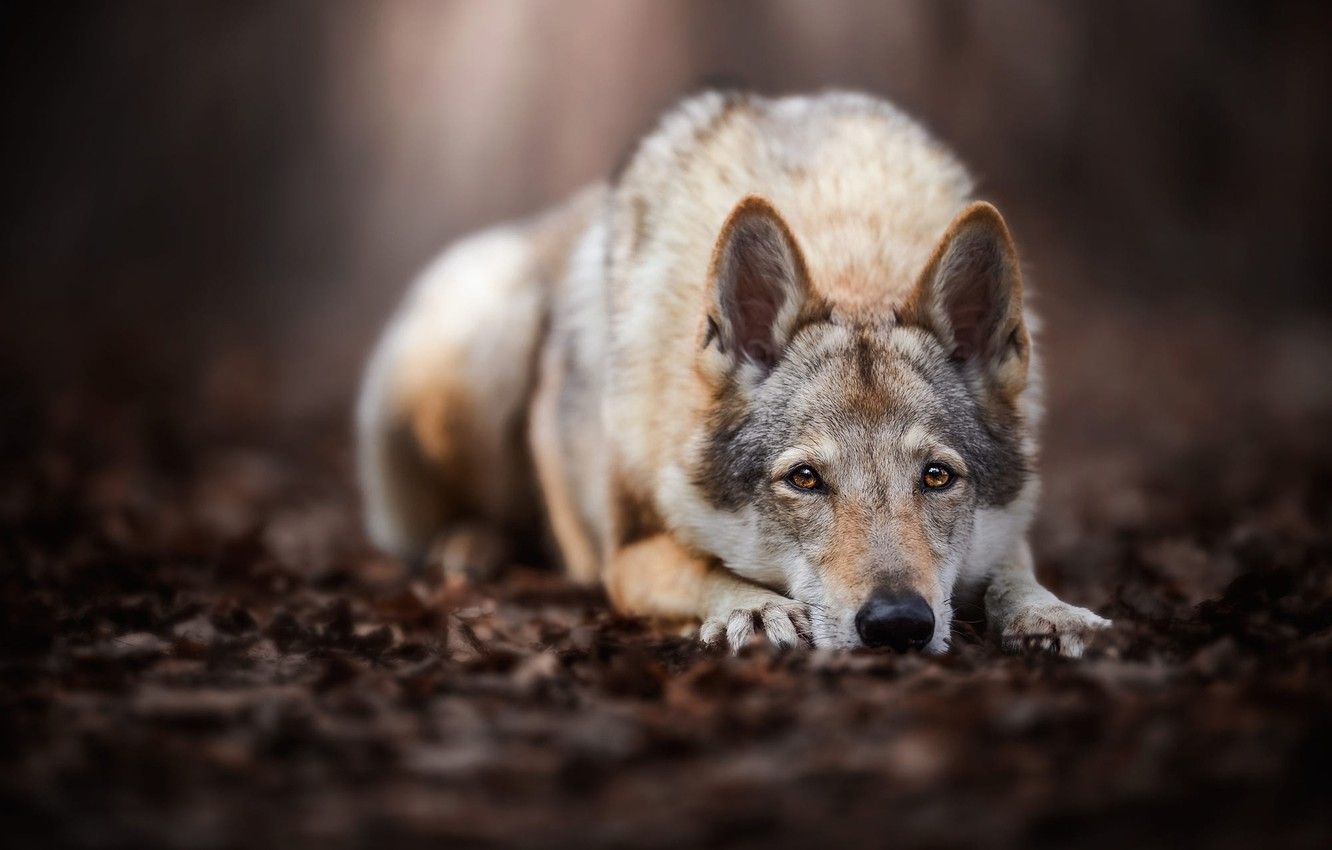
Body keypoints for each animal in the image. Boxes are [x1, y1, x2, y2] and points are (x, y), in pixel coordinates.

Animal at [356, 91, 1110, 655]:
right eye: (804, 480)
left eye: (936, 478)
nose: (898, 624)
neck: (850, 254)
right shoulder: (627, 556)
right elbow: (702, 568)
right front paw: (754, 609)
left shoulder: (1003, 528)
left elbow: (1013, 567)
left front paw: (1050, 612)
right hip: (485, 328)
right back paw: (471, 547)